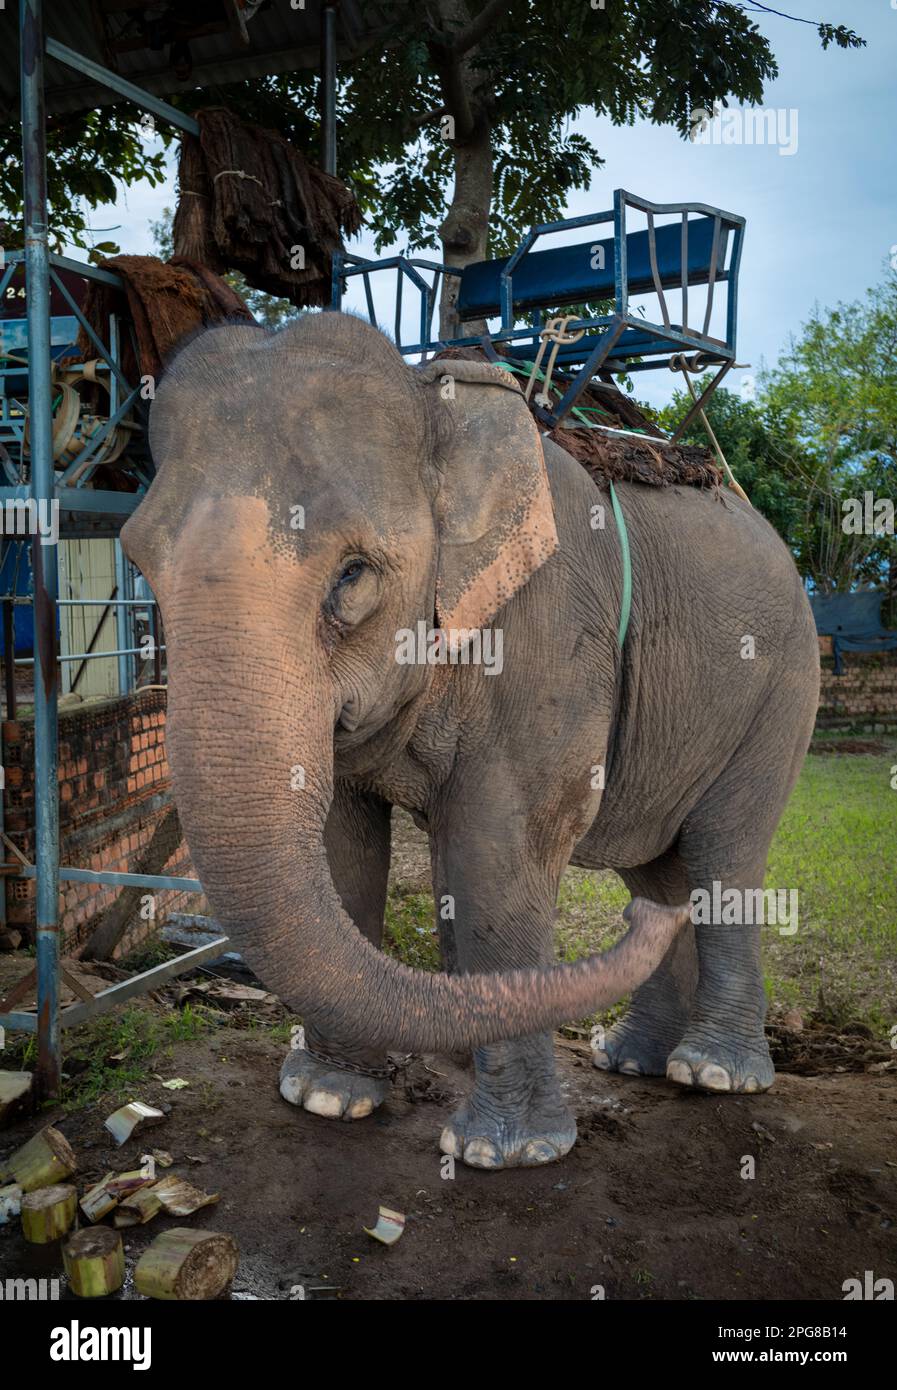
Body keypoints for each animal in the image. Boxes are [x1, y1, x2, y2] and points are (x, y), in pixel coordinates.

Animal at [121, 310, 820, 1170]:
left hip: (782, 689)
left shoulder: (550, 627)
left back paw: (714, 1073)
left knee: (723, 851)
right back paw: (631, 1051)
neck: (435, 398)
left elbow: (499, 846)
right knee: (655, 864)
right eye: (139, 562)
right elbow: (344, 846)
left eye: (352, 575)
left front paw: (507, 1153)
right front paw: (327, 1098)